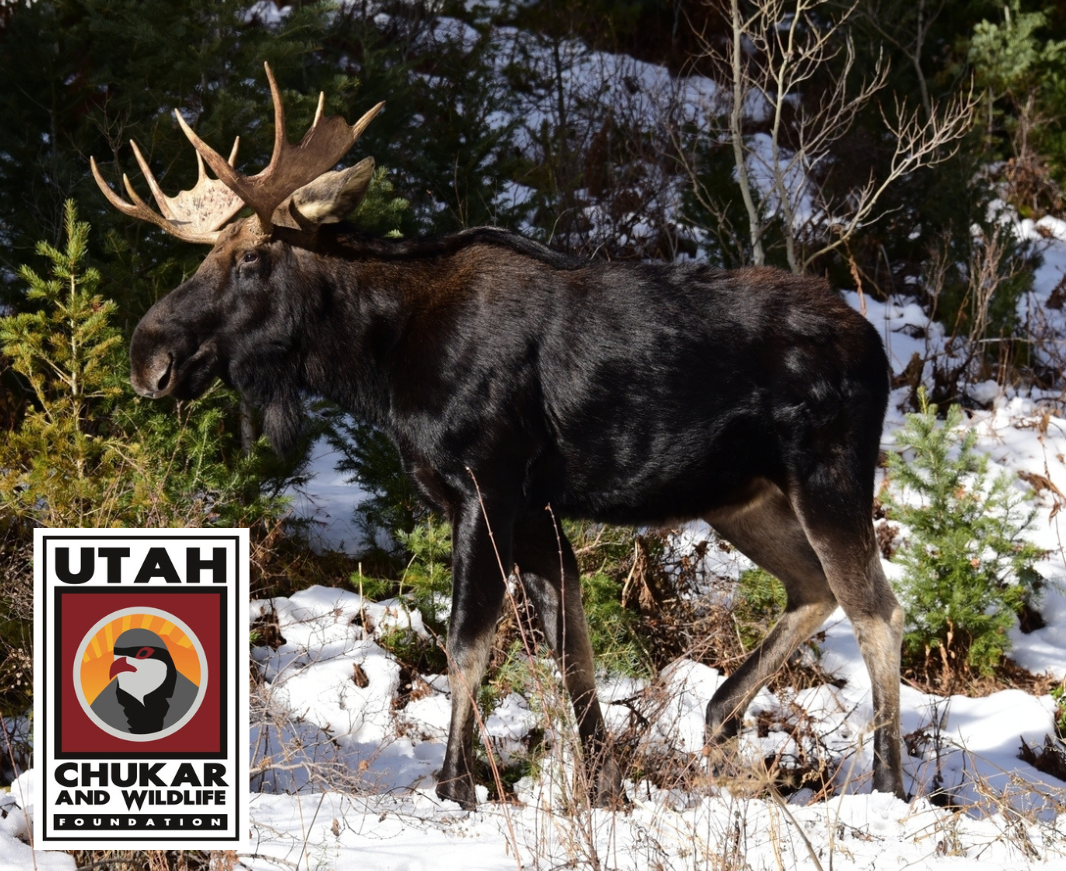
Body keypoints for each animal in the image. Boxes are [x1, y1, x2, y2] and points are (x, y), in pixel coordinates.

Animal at [93, 63, 906, 810]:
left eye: (253, 258)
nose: (148, 356)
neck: (382, 364)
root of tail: (879, 351)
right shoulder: (536, 506)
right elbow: (570, 642)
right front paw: (602, 785)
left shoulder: (485, 484)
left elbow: (466, 642)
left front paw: (456, 783)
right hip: (741, 496)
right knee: (814, 586)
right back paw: (719, 716)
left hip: (828, 472)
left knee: (878, 609)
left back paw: (889, 783)